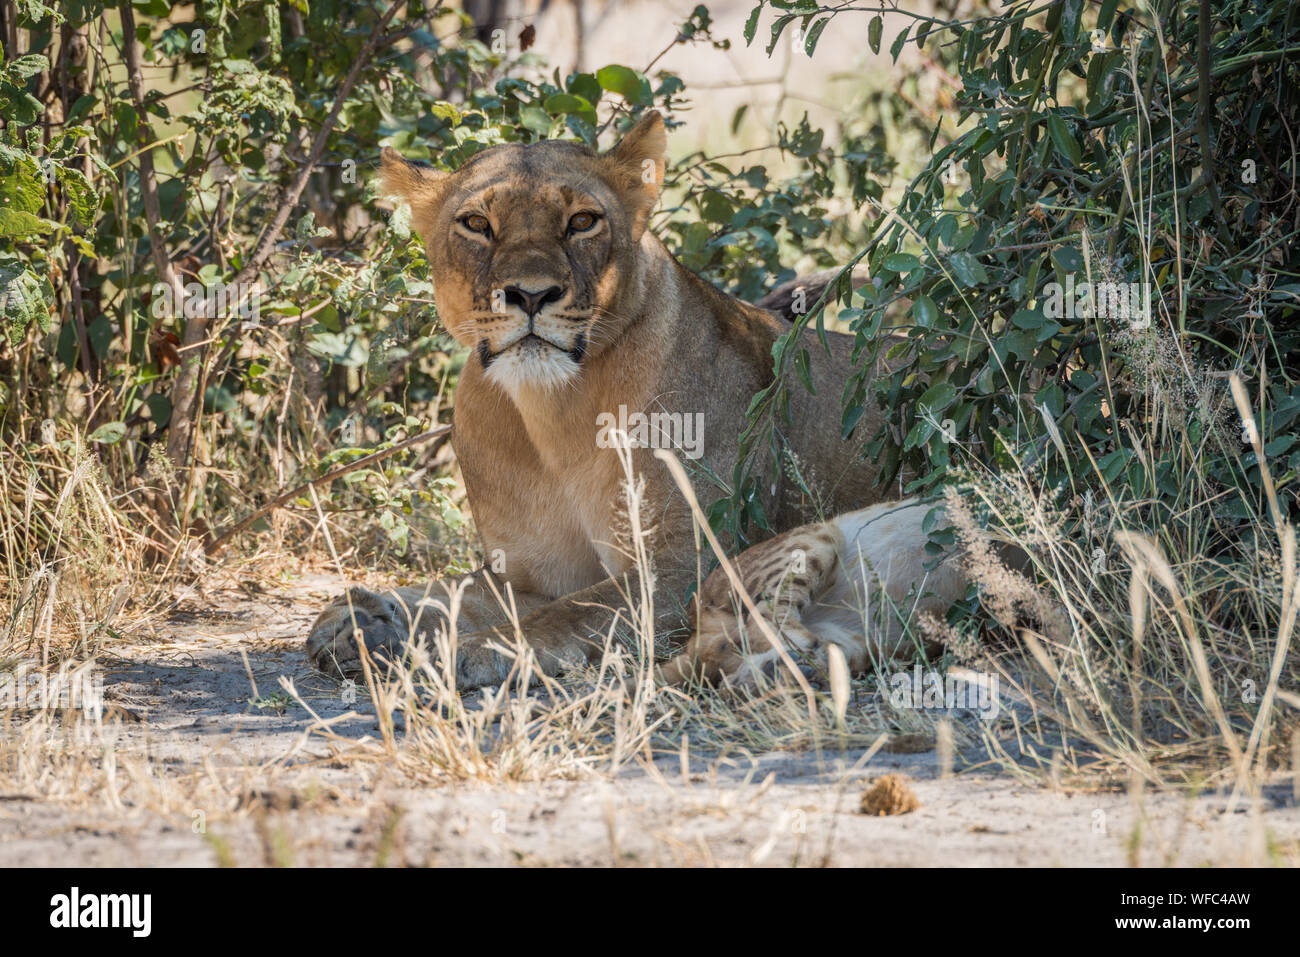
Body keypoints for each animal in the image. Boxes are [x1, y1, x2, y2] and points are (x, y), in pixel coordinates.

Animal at [306, 111, 954, 689]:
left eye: (582, 221)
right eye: (475, 224)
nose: (530, 295)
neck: (553, 415)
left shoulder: (684, 566)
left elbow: (571, 615)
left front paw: (472, 651)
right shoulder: (530, 575)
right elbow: (454, 592)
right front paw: (357, 618)